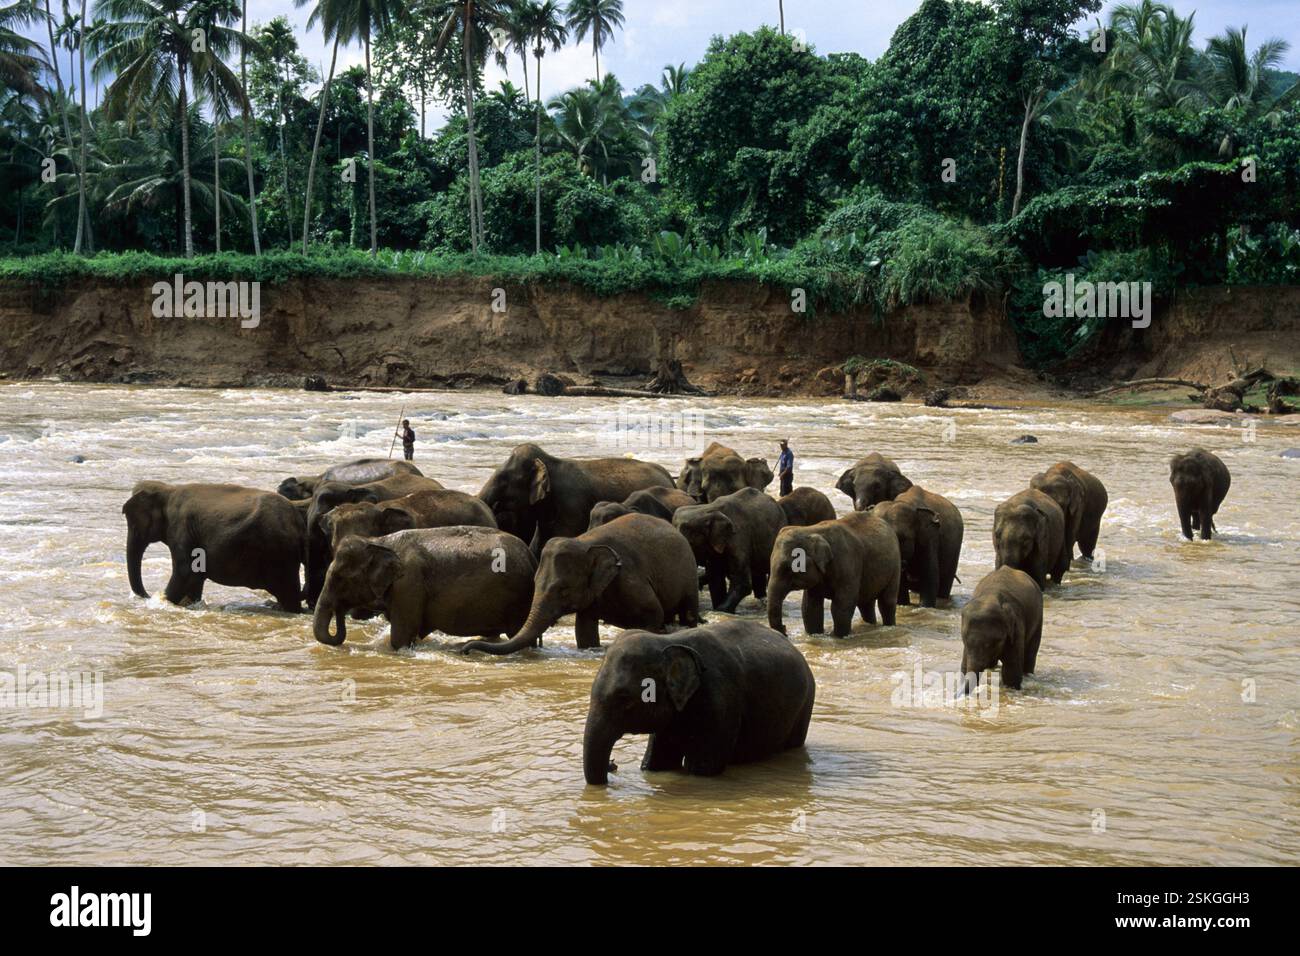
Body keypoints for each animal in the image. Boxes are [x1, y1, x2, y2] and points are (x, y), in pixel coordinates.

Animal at [123, 481, 305, 611]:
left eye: (133, 524)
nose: (148, 596)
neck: (168, 490)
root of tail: (296, 518)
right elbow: (195, 575)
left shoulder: (180, 527)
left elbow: (184, 570)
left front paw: (163, 602)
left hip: (280, 554)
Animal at [313, 527, 535, 649]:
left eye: (338, 578)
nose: (339, 610)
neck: (379, 541)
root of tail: (531, 556)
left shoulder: (409, 585)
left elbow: (401, 637)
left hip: (518, 601)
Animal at [459, 513, 701, 656]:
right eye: (535, 583)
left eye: (563, 590)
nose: (466, 649)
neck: (585, 543)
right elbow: (584, 632)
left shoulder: (631, 578)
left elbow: (652, 614)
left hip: (689, 574)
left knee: (686, 612)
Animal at [582, 620, 816, 785]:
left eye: (623, 697)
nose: (613, 766)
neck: (667, 642)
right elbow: (658, 762)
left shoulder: (720, 701)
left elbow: (702, 769)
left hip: (805, 704)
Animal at [766, 511, 901, 637]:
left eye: (788, 569)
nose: (785, 629)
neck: (810, 530)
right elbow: (810, 607)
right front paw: (816, 635)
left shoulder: (848, 565)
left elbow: (841, 605)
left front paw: (836, 636)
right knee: (865, 604)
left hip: (895, 567)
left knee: (886, 602)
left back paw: (889, 626)